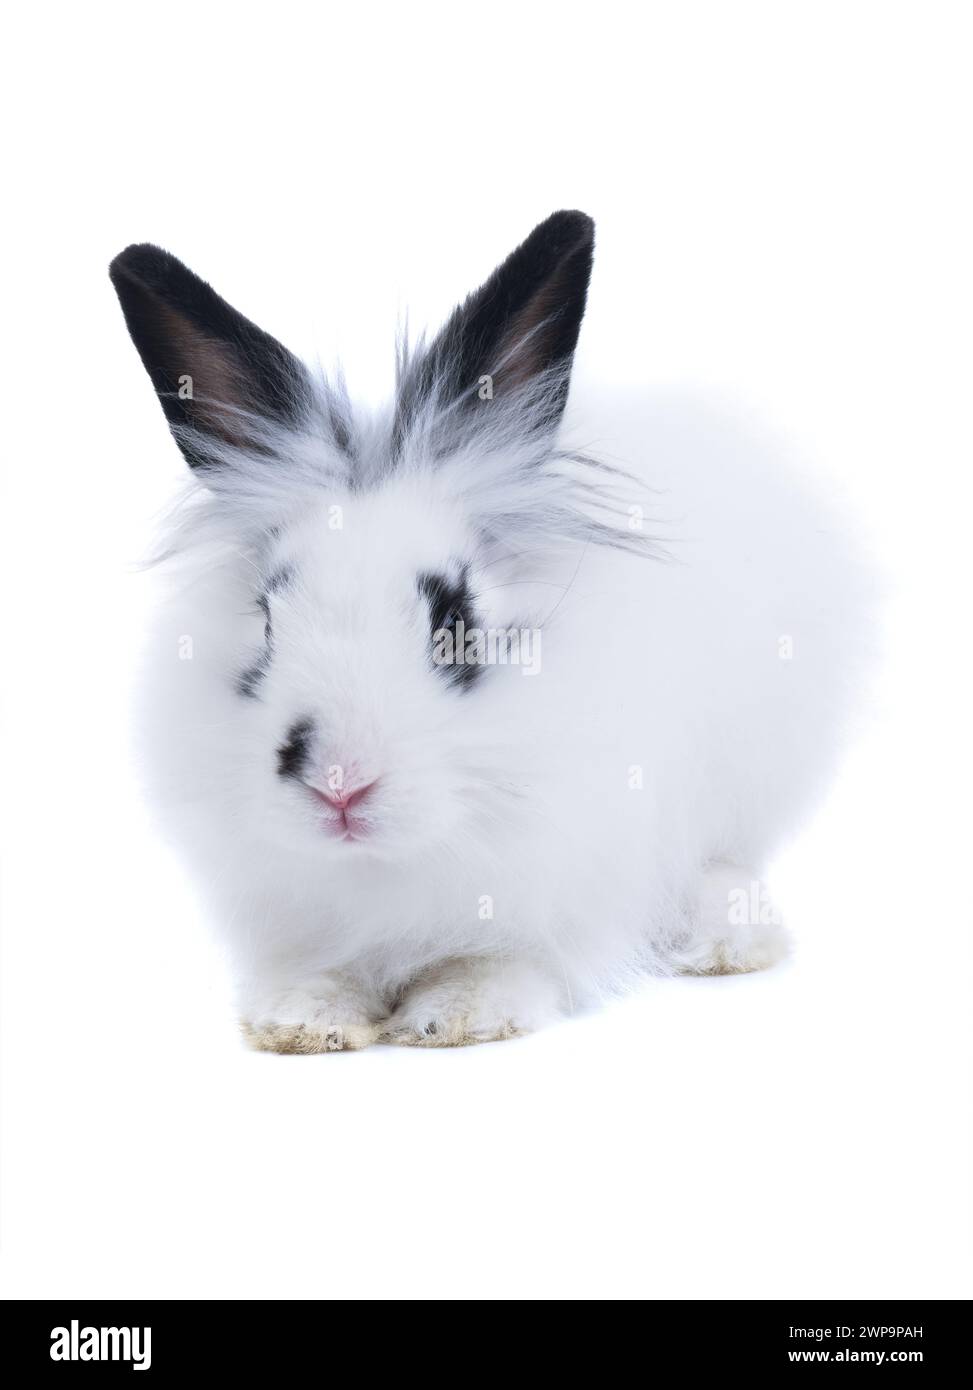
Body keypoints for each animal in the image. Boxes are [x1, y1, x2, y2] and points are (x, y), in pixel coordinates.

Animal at [110, 210, 871, 1051]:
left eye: (456, 623)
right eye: (268, 620)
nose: (340, 785)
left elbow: (507, 956)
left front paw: (458, 1014)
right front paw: (307, 1020)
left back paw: (727, 941)